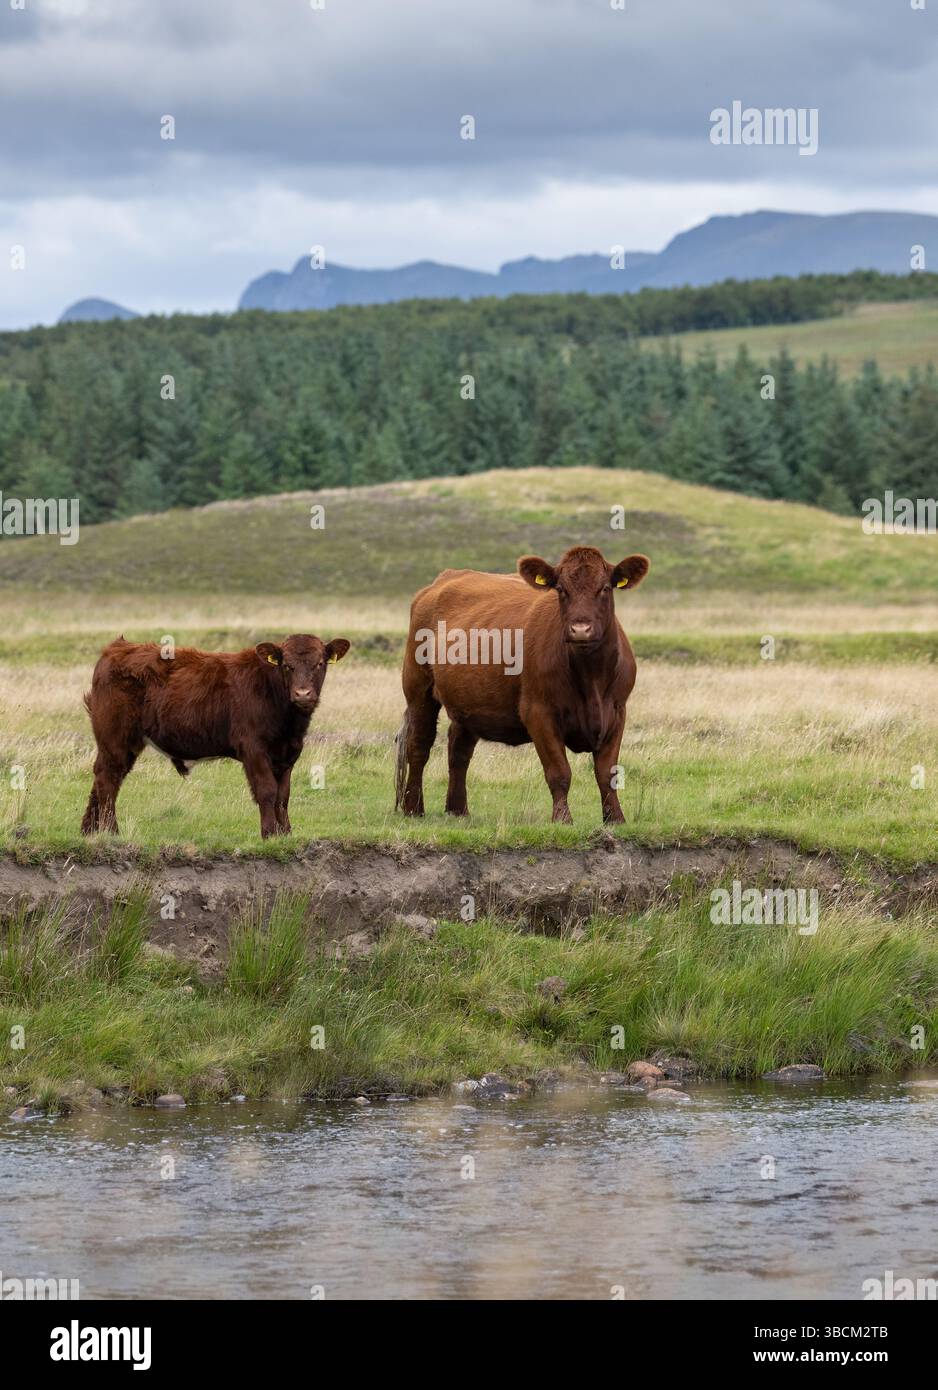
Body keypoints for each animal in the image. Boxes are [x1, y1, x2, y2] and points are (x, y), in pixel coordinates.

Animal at [81, 633, 350, 838]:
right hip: (116, 737)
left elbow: (282, 796)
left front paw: (286, 834)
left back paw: (89, 830)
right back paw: (111, 831)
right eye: (287, 665)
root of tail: (118, 648)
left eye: (320, 664)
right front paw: (269, 834)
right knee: (108, 778)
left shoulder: (288, 753)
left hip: (120, 744)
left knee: (104, 778)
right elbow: (267, 790)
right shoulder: (253, 749)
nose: (303, 694)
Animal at [394, 546, 649, 823]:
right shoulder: (538, 712)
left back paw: (458, 810)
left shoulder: (616, 712)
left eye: (604, 588)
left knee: (458, 750)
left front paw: (615, 818)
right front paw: (562, 819)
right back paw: (413, 808)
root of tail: (442, 580)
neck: (591, 677)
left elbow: (606, 773)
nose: (580, 629)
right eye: (561, 589)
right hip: (418, 690)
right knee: (419, 746)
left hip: (467, 702)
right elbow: (559, 771)